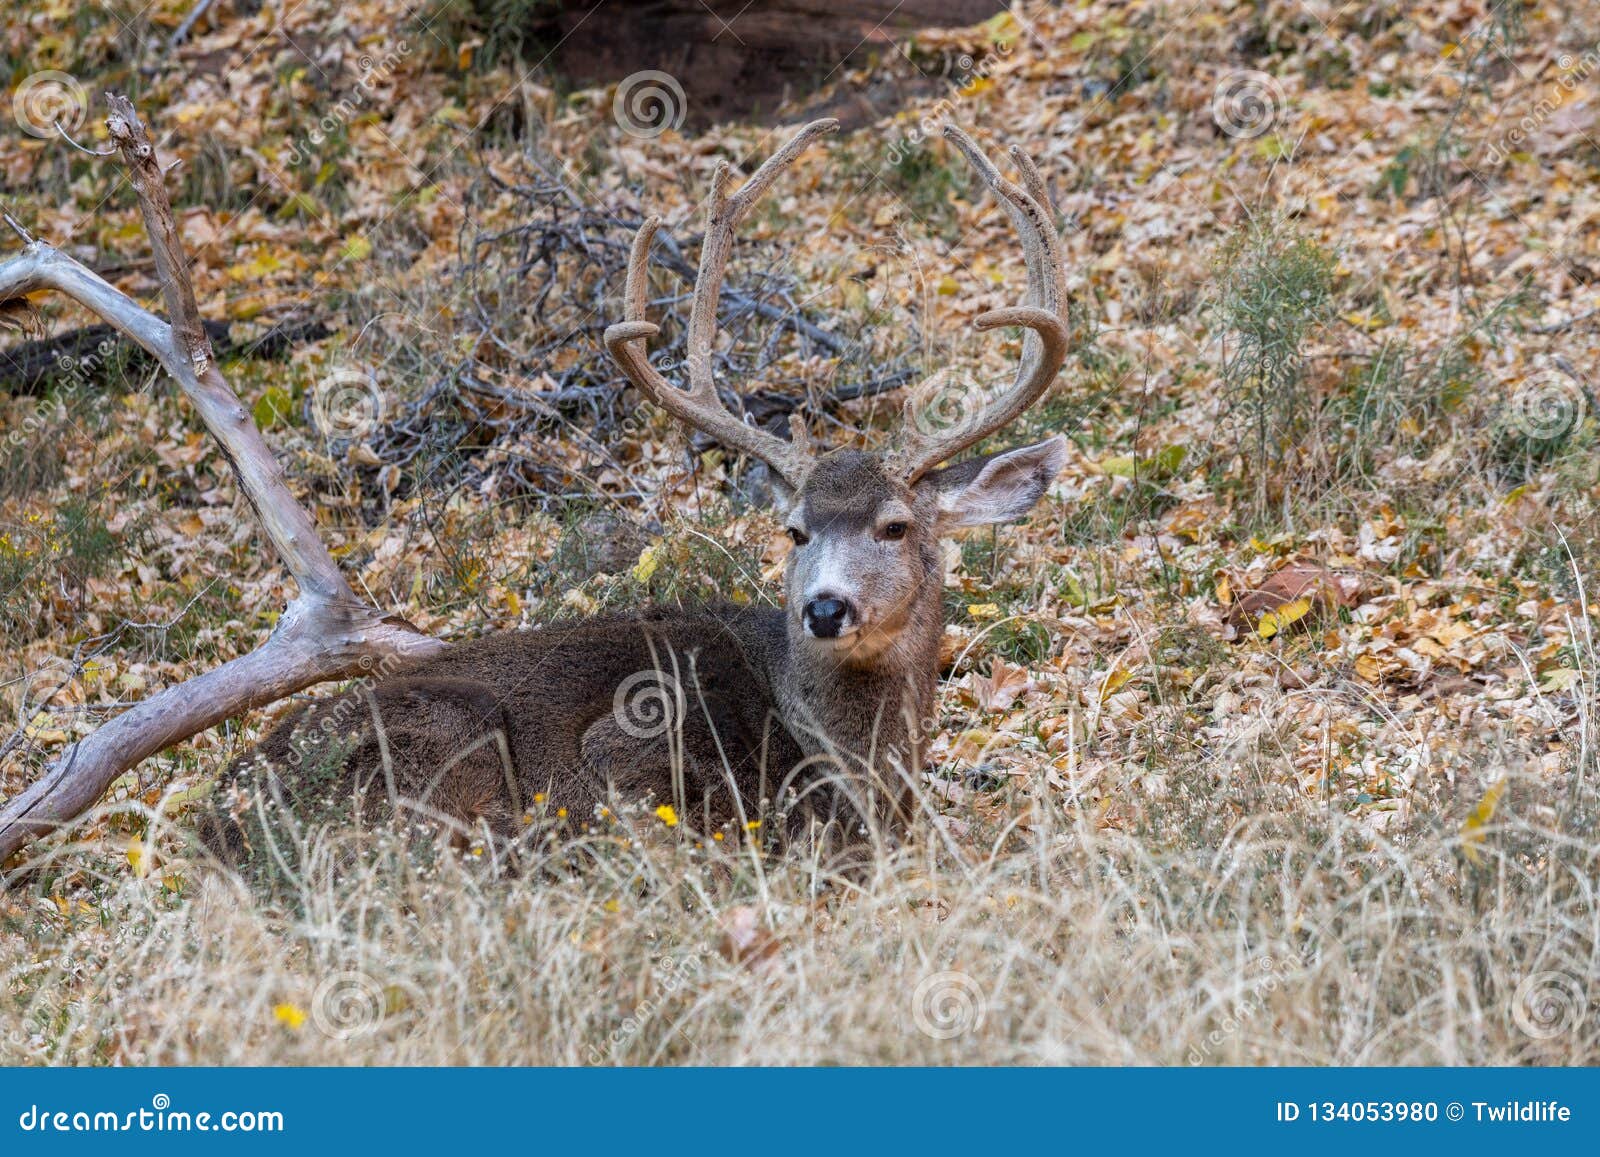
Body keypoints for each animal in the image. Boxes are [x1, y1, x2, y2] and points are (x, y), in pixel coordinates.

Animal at [200, 119, 1069, 867]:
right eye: (794, 530)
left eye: (895, 526)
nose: (825, 608)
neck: (847, 759)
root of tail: (219, 822)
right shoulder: (634, 744)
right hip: (450, 726)